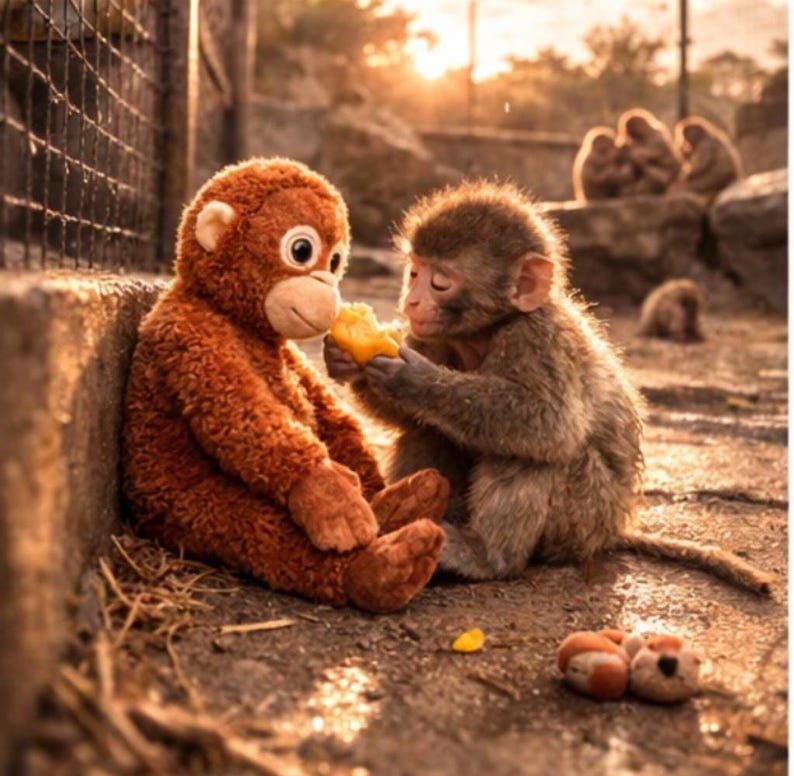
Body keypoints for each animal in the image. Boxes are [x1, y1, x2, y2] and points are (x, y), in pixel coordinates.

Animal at [323, 180, 772, 595]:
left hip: (583, 519)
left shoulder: (537, 337)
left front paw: (414, 380)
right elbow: (411, 417)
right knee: (432, 430)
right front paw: (344, 361)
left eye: (439, 283)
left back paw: (487, 557)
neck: (487, 331)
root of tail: (613, 529)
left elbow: (551, 424)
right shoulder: (435, 336)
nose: (411, 302)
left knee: (537, 451)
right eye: (414, 272)